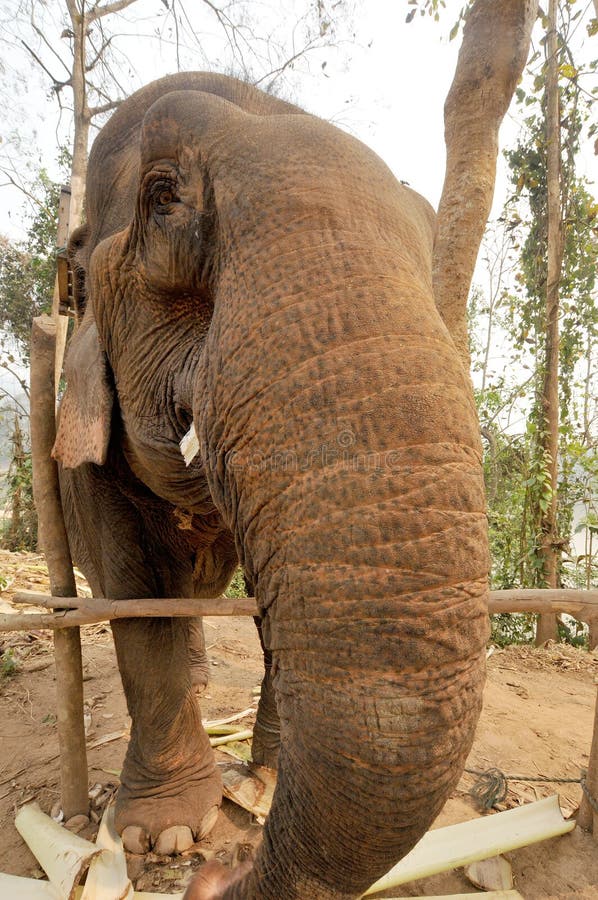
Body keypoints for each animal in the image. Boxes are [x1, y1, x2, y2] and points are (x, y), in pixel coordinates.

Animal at [52, 71, 489, 900]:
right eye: (162, 197)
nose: (218, 874)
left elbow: (265, 596)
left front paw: (264, 783)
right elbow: (133, 588)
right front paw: (163, 834)